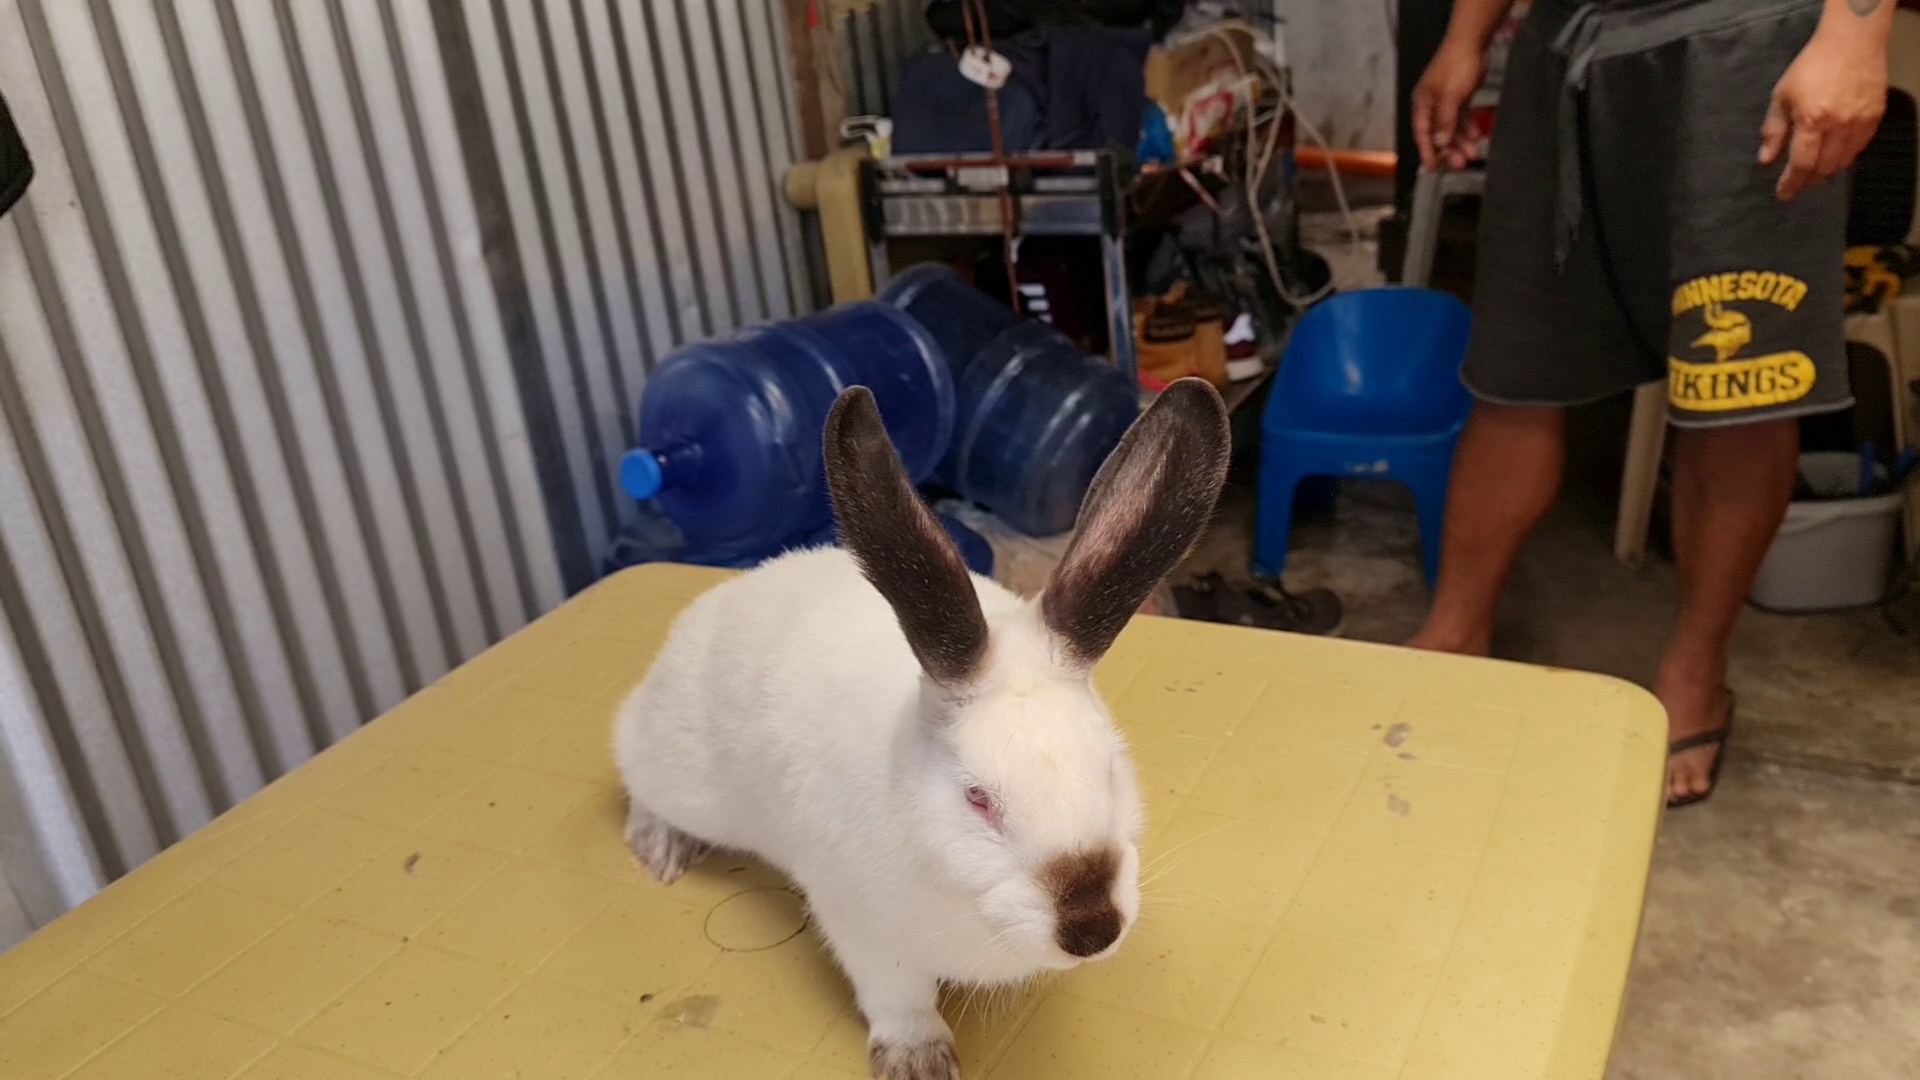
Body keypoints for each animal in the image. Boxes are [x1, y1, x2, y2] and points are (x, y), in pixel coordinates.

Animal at [612, 377, 1230, 1080]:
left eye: (1109, 771)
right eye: (977, 798)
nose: (1092, 928)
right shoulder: (864, 933)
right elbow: (898, 1002)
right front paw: (919, 1062)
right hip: (680, 769)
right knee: (636, 772)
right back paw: (661, 848)